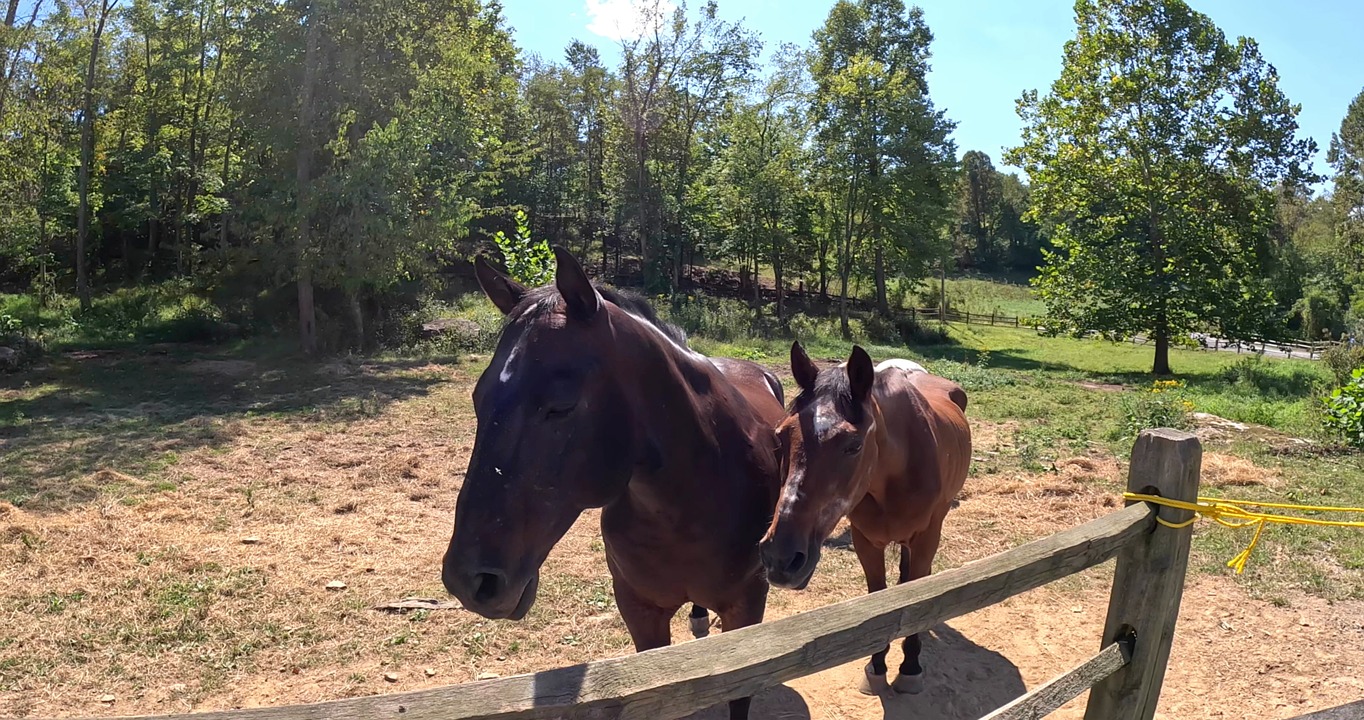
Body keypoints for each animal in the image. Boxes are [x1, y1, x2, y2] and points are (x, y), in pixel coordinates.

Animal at [758, 341, 970, 696]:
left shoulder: (927, 538)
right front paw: (876, 666)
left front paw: (910, 668)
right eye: (782, 436)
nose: (780, 558)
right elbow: (878, 597)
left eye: (854, 445)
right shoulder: (866, 541)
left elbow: (916, 593)